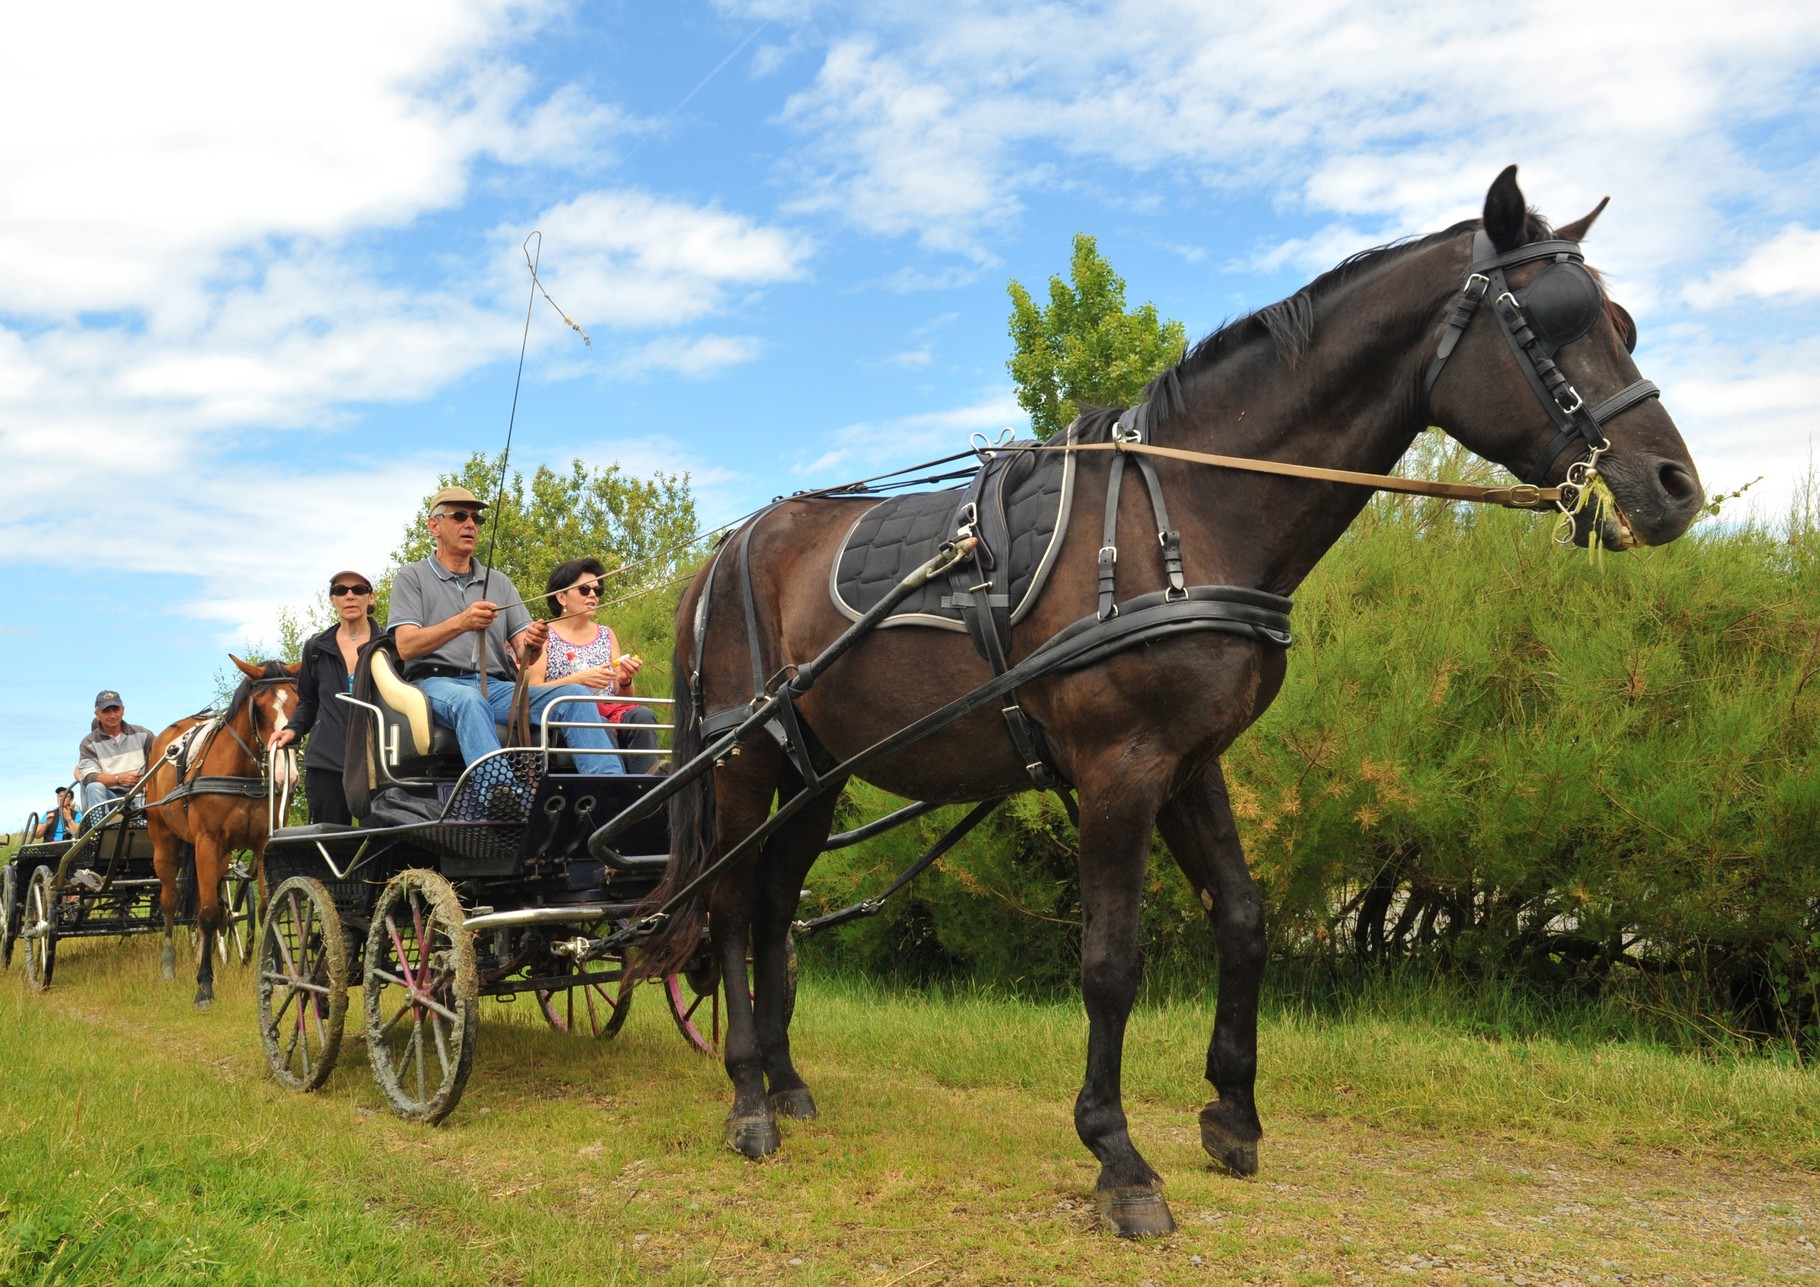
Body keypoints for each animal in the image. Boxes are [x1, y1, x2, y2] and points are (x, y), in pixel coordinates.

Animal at [144, 655, 300, 1008]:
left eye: (297, 701)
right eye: (259, 707)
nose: (285, 774)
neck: (244, 775)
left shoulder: (263, 843)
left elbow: (267, 907)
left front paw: (276, 975)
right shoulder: (206, 841)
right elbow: (207, 913)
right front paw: (204, 985)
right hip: (164, 841)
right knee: (170, 901)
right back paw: (169, 964)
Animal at [641, 166, 1705, 1237]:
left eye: (1623, 323)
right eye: (1553, 318)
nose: (1674, 487)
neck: (1187, 510)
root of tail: (724, 551)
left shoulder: (1193, 762)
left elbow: (1242, 918)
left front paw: (1231, 1113)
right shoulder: (1120, 768)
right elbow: (1111, 961)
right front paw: (1117, 1157)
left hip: (819, 771)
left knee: (774, 904)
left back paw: (786, 1080)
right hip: (745, 759)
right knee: (728, 907)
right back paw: (747, 1097)